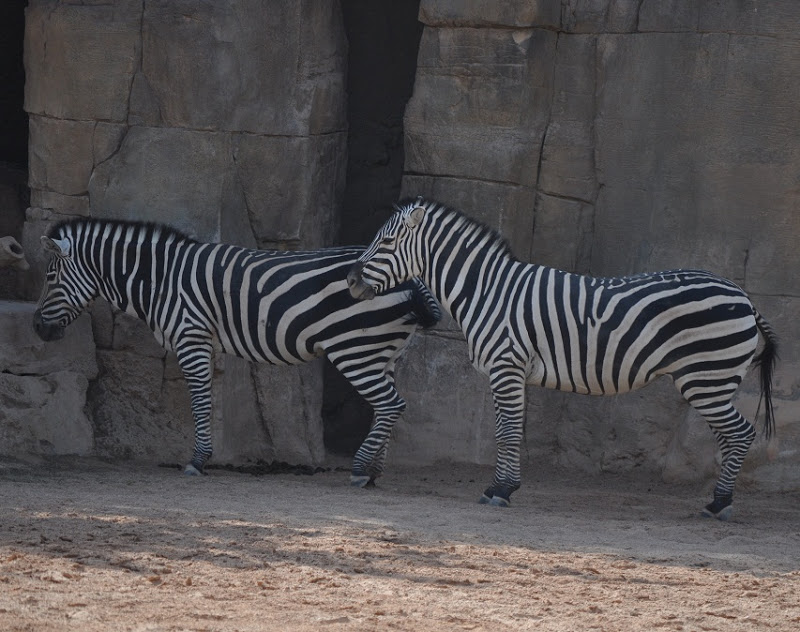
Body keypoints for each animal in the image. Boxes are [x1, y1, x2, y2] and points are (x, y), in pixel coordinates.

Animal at [33, 217, 441, 484]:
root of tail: (413, 281)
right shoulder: (205, 341)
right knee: (386, 407)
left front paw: (197, 460)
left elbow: (200, 403)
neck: (161, 279)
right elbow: (208, 400)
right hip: (383, 352)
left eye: (50, 278)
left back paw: (359, 470)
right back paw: (373, 471)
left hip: (354, 349)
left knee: (391, 404)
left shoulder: (191, 336)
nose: (37, 327)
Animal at [348, 197, 778, 520]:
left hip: (706, 378)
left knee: (742, 433)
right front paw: (505, 486)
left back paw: (720, 504)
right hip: (713, 381)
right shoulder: (511, 371)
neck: (486, 292)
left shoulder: (506, 366)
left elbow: (506, 431)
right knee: (731, 435)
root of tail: (743, 297)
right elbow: (509, 430)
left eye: (386, 243)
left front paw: (499, 490)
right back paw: (717, 500)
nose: (351, 282)